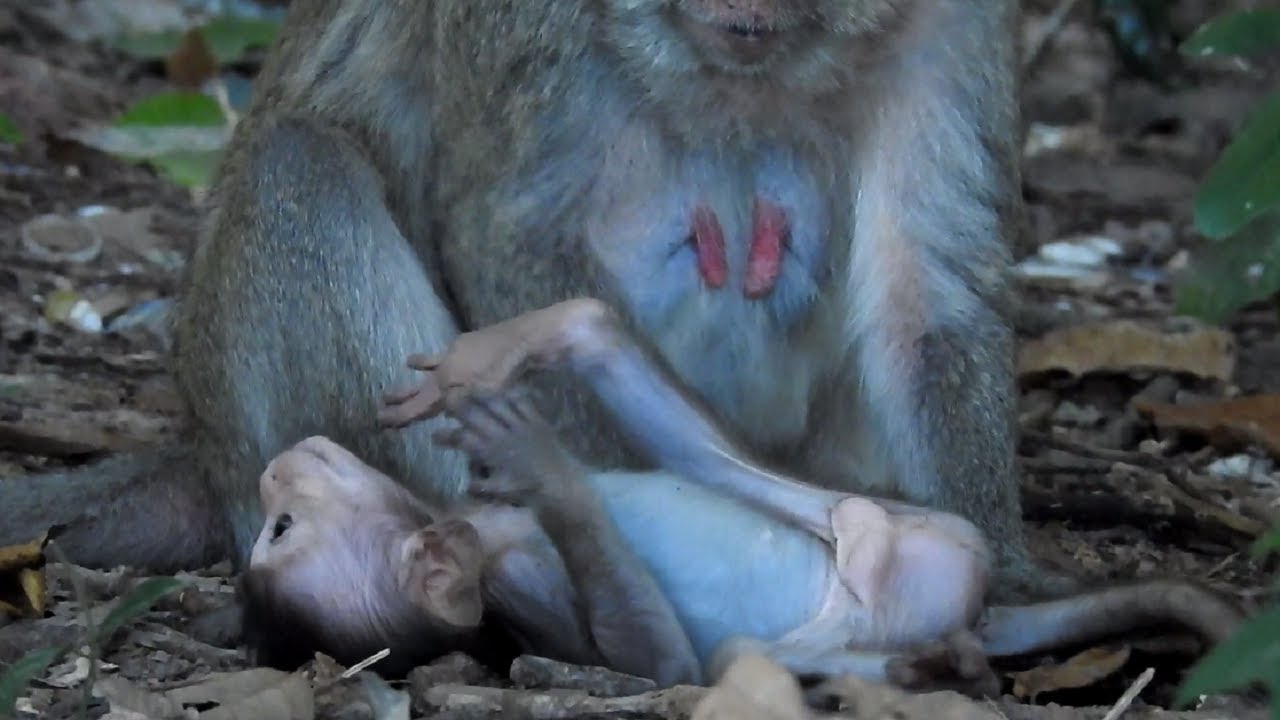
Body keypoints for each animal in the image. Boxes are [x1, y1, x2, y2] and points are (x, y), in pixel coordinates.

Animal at [2, 0, 1059, 625]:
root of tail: (205, 440)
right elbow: (517, 228)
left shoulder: (953, 21)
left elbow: (931, 283)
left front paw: (1000, 574)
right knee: (297, 165)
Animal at [245, 298, 1242, 695]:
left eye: (275, 527)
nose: (272, 468)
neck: (482, 534)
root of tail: (976, 611)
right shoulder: (516, 590)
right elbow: (664, 661)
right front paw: (547, 470)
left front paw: (494, 385)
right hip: (882, 597)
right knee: (735, 660)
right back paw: (938, 671)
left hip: (897, 528)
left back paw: (557, 331)